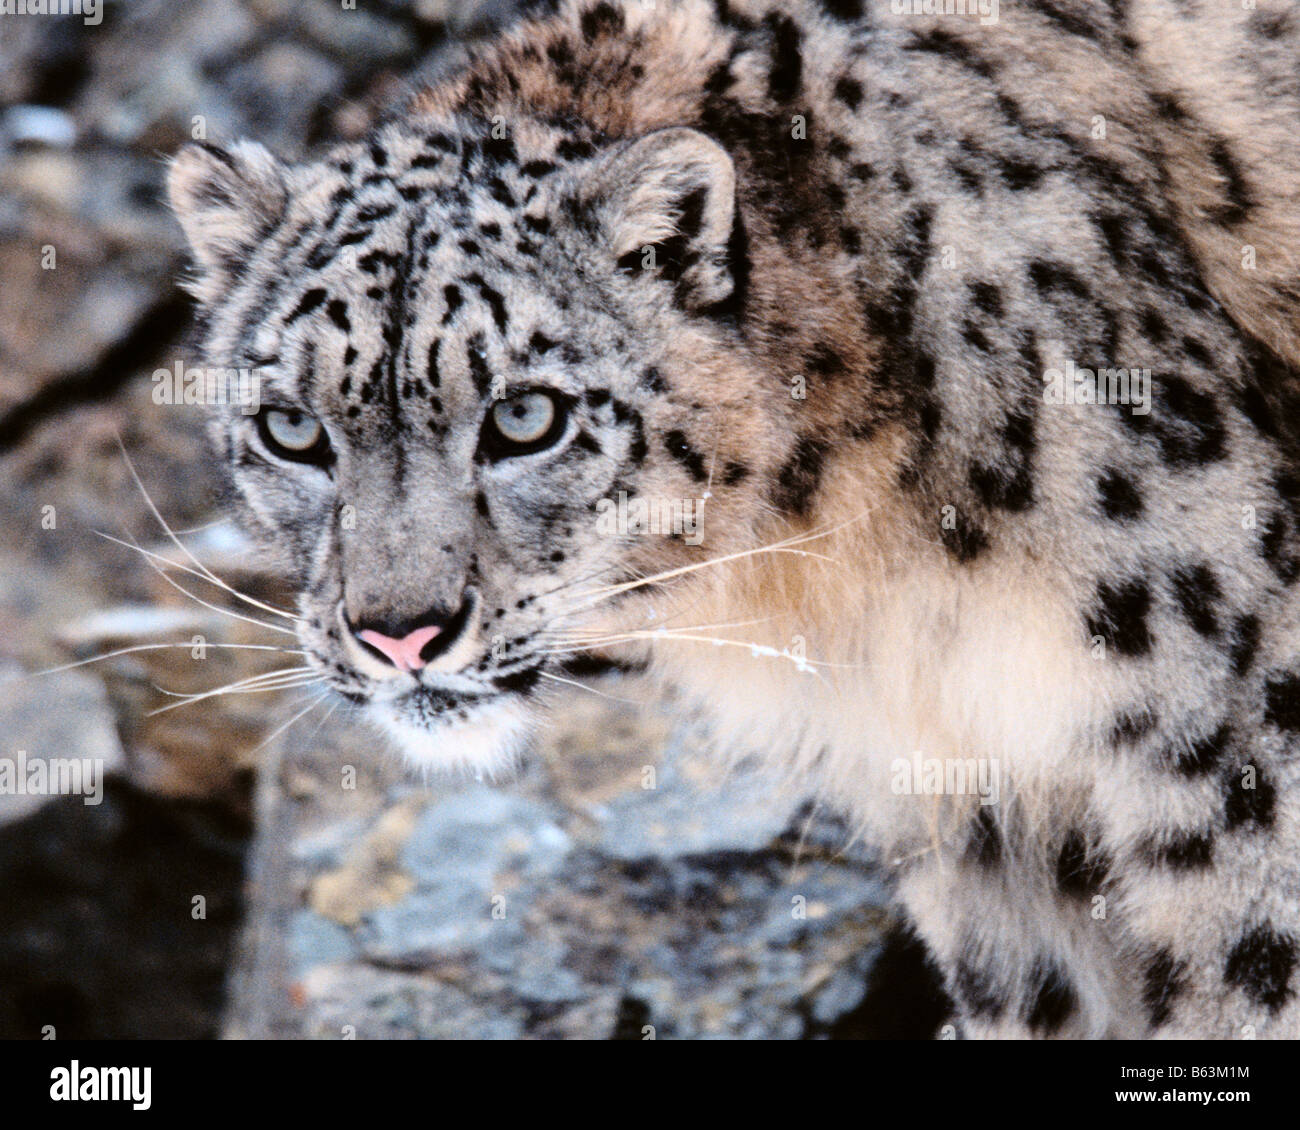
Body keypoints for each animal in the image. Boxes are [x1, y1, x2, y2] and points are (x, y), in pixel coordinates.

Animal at [167, 0, 1300, 1039]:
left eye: (526, 416)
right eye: (291, 427)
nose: (400, 632)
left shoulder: (1229, 718)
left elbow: (1251, 965)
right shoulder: (981, 812)